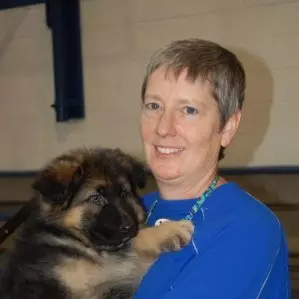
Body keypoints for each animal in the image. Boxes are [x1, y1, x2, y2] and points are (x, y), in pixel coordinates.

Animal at [0, 148, 196, 299]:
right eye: (96, 198)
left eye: (123, 193)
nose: (129, 227)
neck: (72, 238)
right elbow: (133, 243)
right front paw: (170, 230)